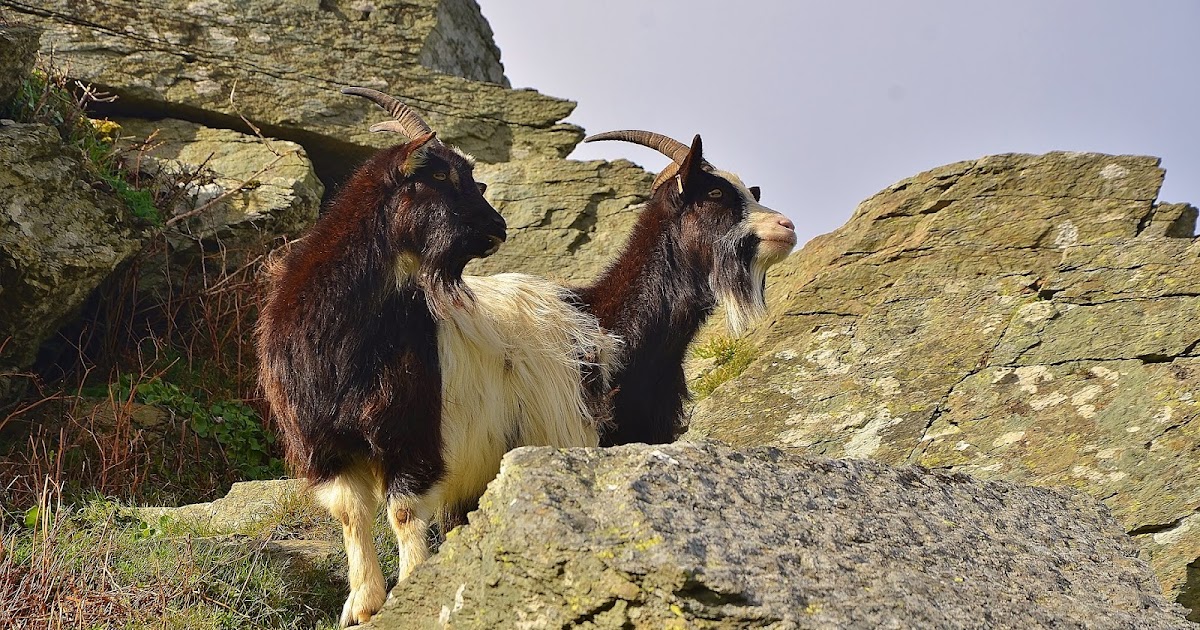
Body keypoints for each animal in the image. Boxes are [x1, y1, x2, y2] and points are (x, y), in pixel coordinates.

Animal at [255, 87, 614, 627]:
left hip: (556, 430)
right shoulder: (323, 442)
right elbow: (351, 513)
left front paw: (409, 589)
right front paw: (361, 604)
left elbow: (403, 512)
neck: (341, 342)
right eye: (440, 176)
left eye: (473, 177)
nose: (498, 228)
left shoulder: (413, 431)